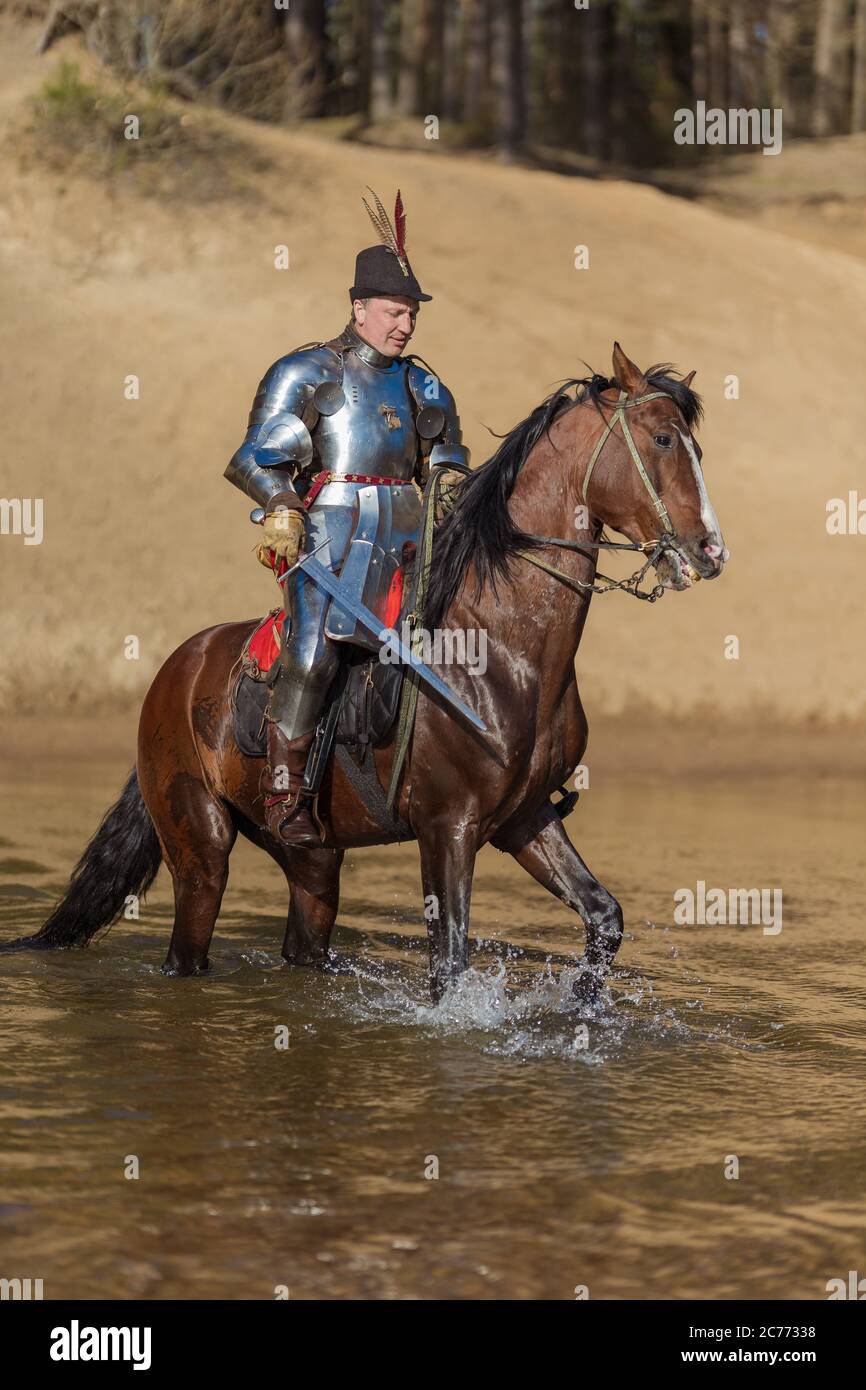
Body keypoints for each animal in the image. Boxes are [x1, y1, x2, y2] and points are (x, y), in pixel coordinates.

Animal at [1, 344, 726, 1003]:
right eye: (663, 439)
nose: (709, 551)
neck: (501, 649)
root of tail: (179, 666)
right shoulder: (448, 827)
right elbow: (450, 967)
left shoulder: (525, 818)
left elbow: (605, 918)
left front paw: (583, 1013)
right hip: (200, 848)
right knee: (189, 947)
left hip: (313, 858)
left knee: (304, 941)